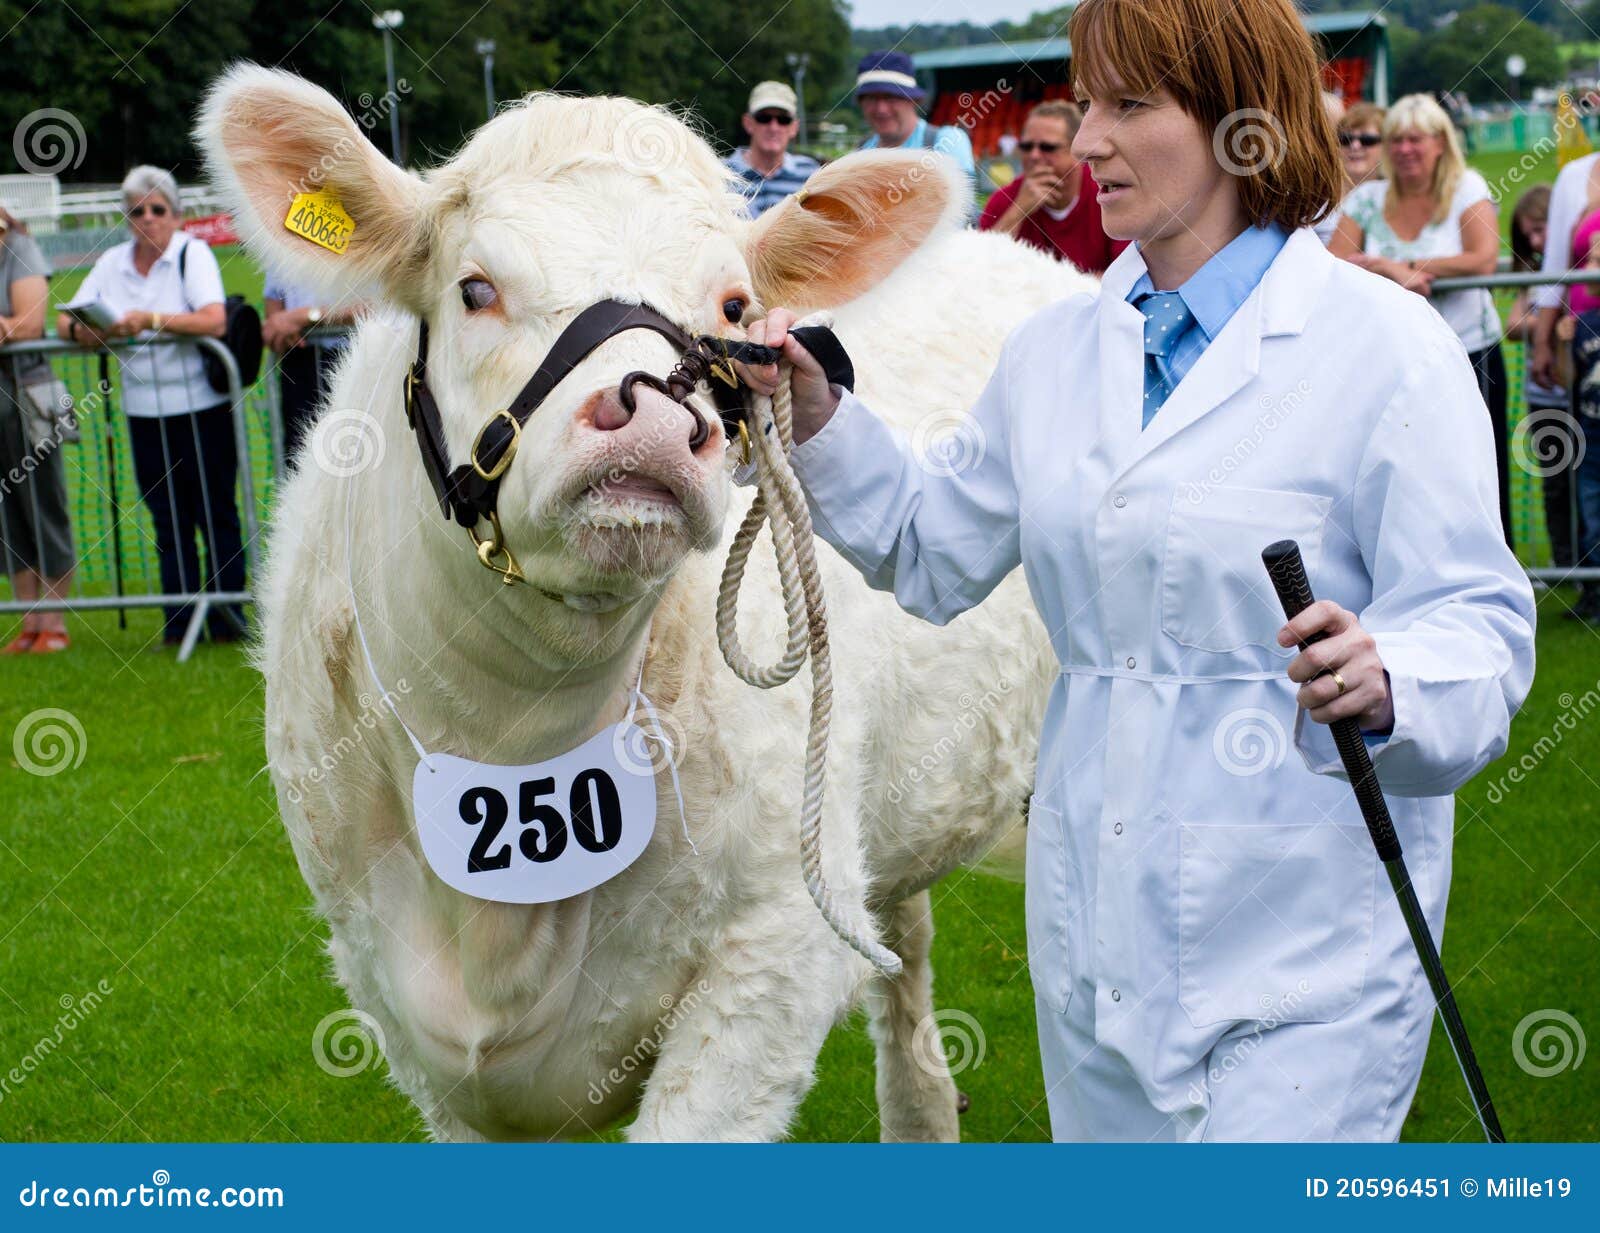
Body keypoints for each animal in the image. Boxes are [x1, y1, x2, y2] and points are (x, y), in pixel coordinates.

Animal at [199, 65, 1095, 1141]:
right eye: (475, 288)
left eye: (734, 303)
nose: (655, 414)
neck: (515, 734)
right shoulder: (400, 1006)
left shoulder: (771, 958)